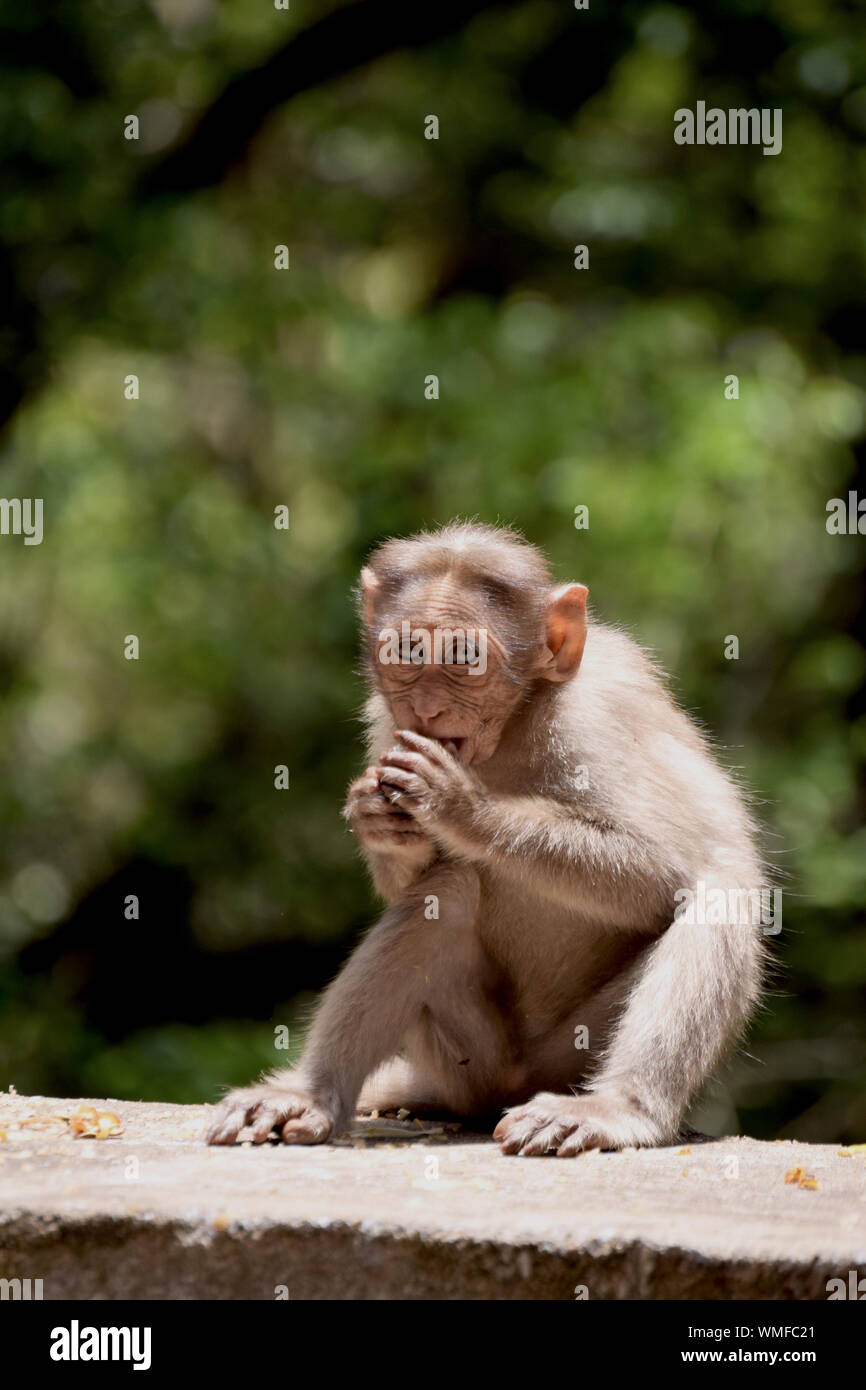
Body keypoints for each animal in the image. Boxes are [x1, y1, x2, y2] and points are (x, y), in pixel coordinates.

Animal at [207, 522, 766, 1156]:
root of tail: (505, 1088)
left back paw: (619, 1108)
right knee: (446, 892)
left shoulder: (596, 717)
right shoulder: (385, 722)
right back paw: (312, 1095)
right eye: (409, 655)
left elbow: (665, 872)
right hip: (465, 1061)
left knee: (720, 892)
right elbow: (420, 873)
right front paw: (375, 816)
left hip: (566, 1058)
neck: (515, 723)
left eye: (465, 659)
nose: (427, 707)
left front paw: (459, 807)